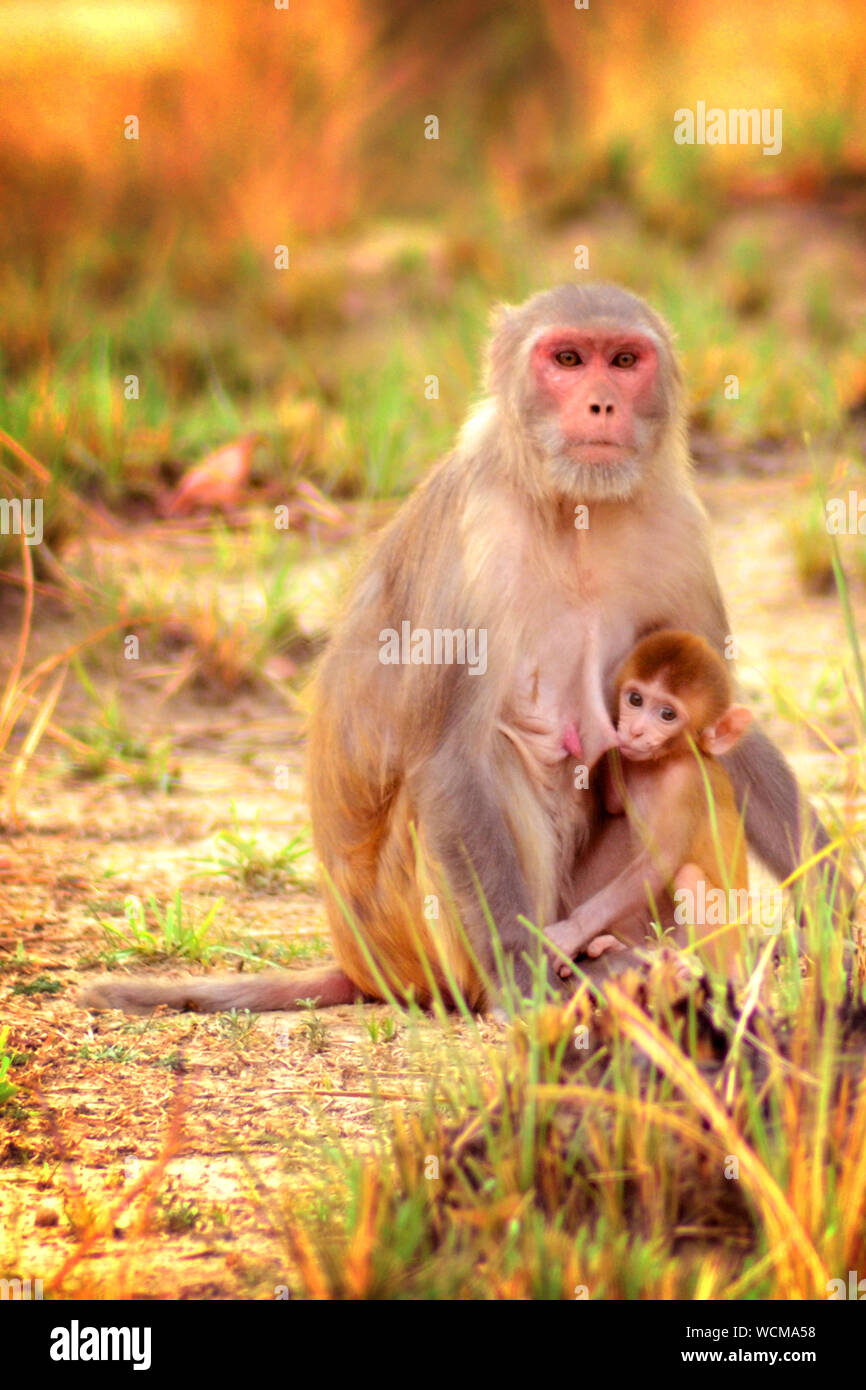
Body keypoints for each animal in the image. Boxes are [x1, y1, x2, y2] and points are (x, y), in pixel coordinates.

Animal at [545, 629, 754, 979]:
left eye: (667, 714)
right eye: (635, 700)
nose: (635, 730)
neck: (663, 763)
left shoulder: (686, 785)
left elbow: (660, 862)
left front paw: (571, 932)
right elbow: (614, 805)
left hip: (730, 944)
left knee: (688, 876)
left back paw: (688, 963)